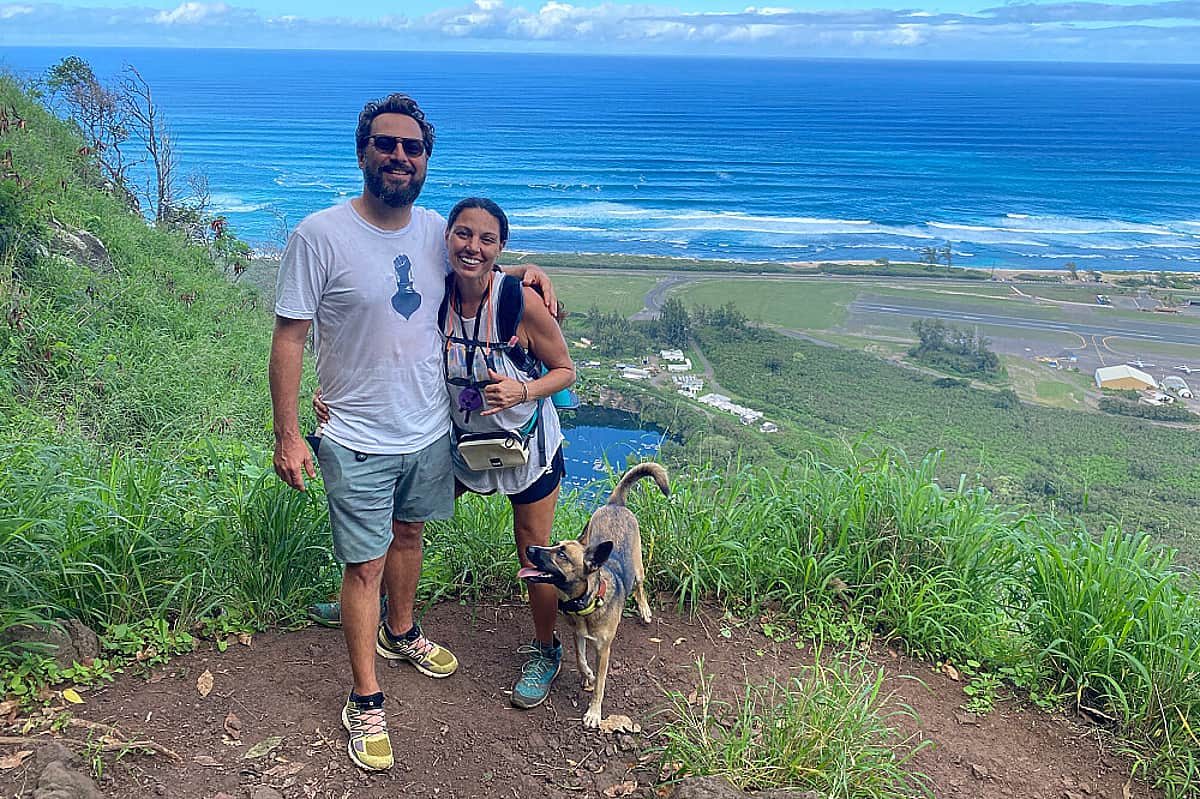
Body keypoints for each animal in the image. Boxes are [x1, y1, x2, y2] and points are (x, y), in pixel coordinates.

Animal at [520, 460, 672, 729]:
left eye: (562, 555)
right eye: (554, 544)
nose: (530, 548)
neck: (588, 602)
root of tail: (616, 504)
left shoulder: (604, 651)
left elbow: (601, 685)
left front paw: (594, 712)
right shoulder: (578, 635)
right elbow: (581, 660)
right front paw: (586, 676)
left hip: (638, 565)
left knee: (640, 586)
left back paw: (644, 609)